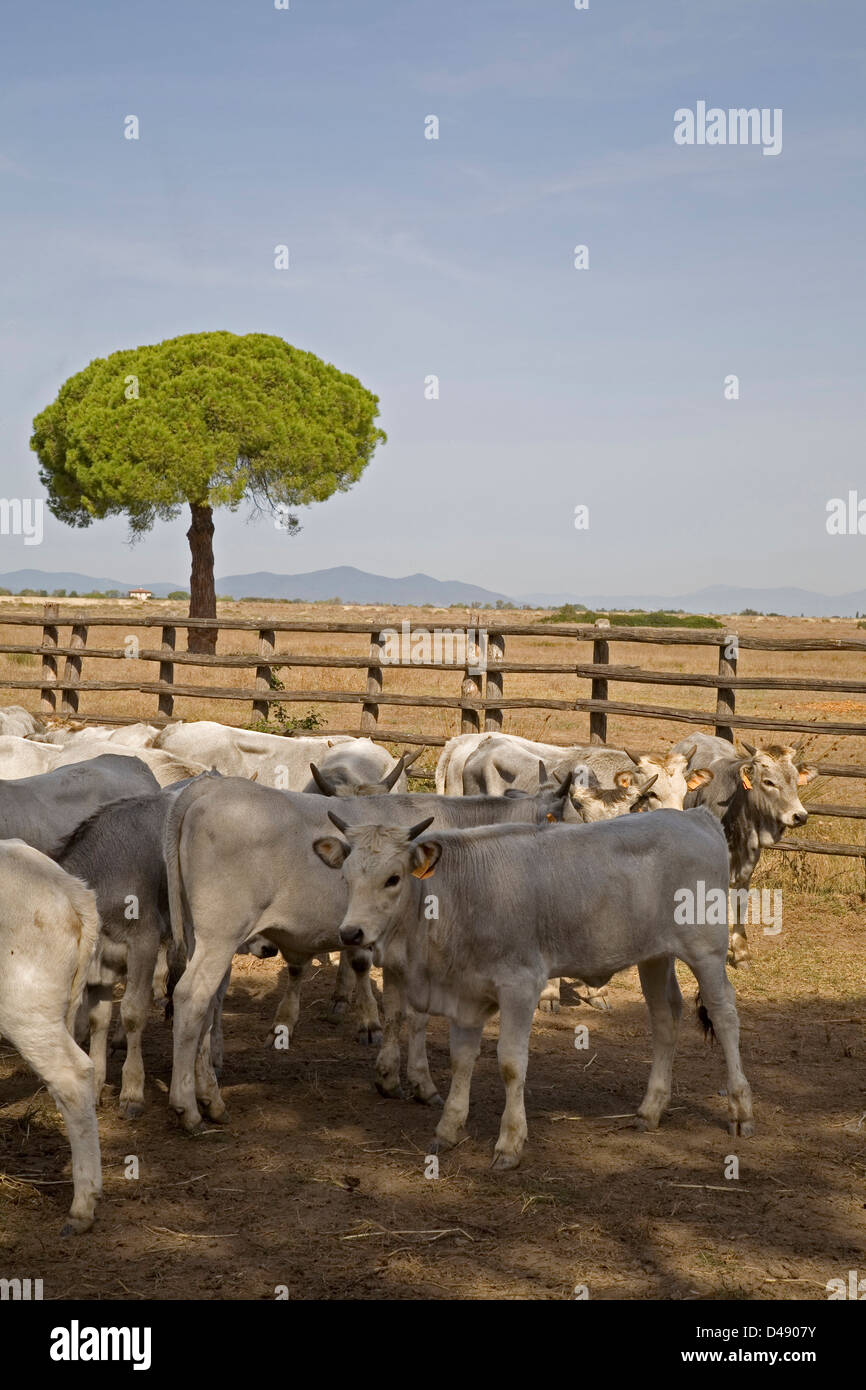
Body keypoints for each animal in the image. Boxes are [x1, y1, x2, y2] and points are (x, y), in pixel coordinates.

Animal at [161, 775, 575, 1132]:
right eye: (565, 815)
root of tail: (208, 788)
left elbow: (396, 1010)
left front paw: (389, 1075)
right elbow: (414, 1016)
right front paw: (420, 1082)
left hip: (203, 938)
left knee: (207, 1005)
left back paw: (207, 1093)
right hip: (220, 935)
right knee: (192, 998)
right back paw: (191, 1107)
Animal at [313, 808, 754, 1170]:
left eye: (393, 878)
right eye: (346, 878)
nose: (351, 933)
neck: (459, 894)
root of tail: (695, 817)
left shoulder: (520, 985)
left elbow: (510, 1063)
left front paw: (509, 1143)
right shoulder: (465, 991)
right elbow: (461, 1060)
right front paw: (449, 1127)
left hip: (706, 949)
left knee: (725, 1015)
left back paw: (740, 1109)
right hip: (655, 955)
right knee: (665, 1019)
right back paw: (650, 1109)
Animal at [674, 735, 816, 967]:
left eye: (795, 780)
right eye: (768, 782)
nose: (800, 816)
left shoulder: (749, 862)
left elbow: (739, 903)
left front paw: (741, 952)